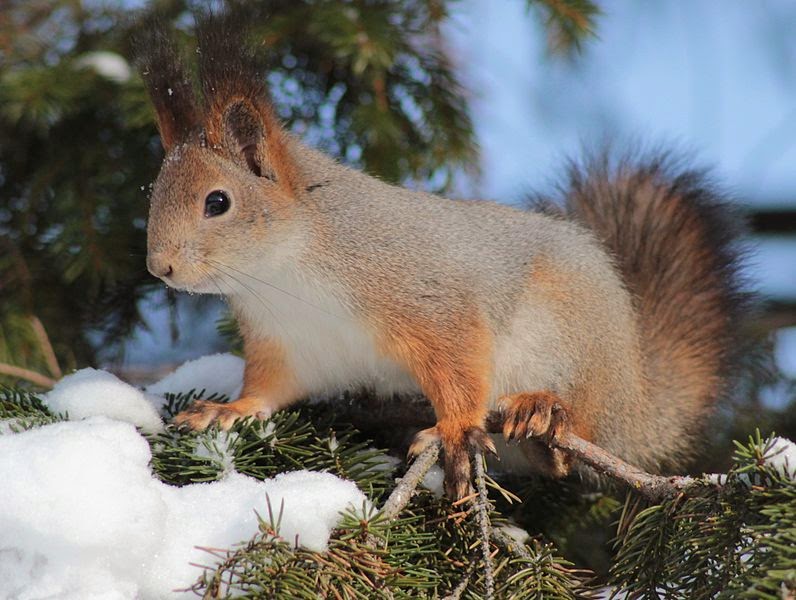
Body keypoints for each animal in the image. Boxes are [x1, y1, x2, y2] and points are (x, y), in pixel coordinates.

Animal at [137, 16, 748, 500]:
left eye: (218, 202)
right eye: (154, 190)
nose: (158, 267)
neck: (283, 273)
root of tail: (637, 394)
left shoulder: (428, 299)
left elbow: (459, 367)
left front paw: (453, 429)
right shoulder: (288, 344)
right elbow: (268, 389)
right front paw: (229, 410)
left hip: (572, 341)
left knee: (583, 429)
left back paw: (541, 410)